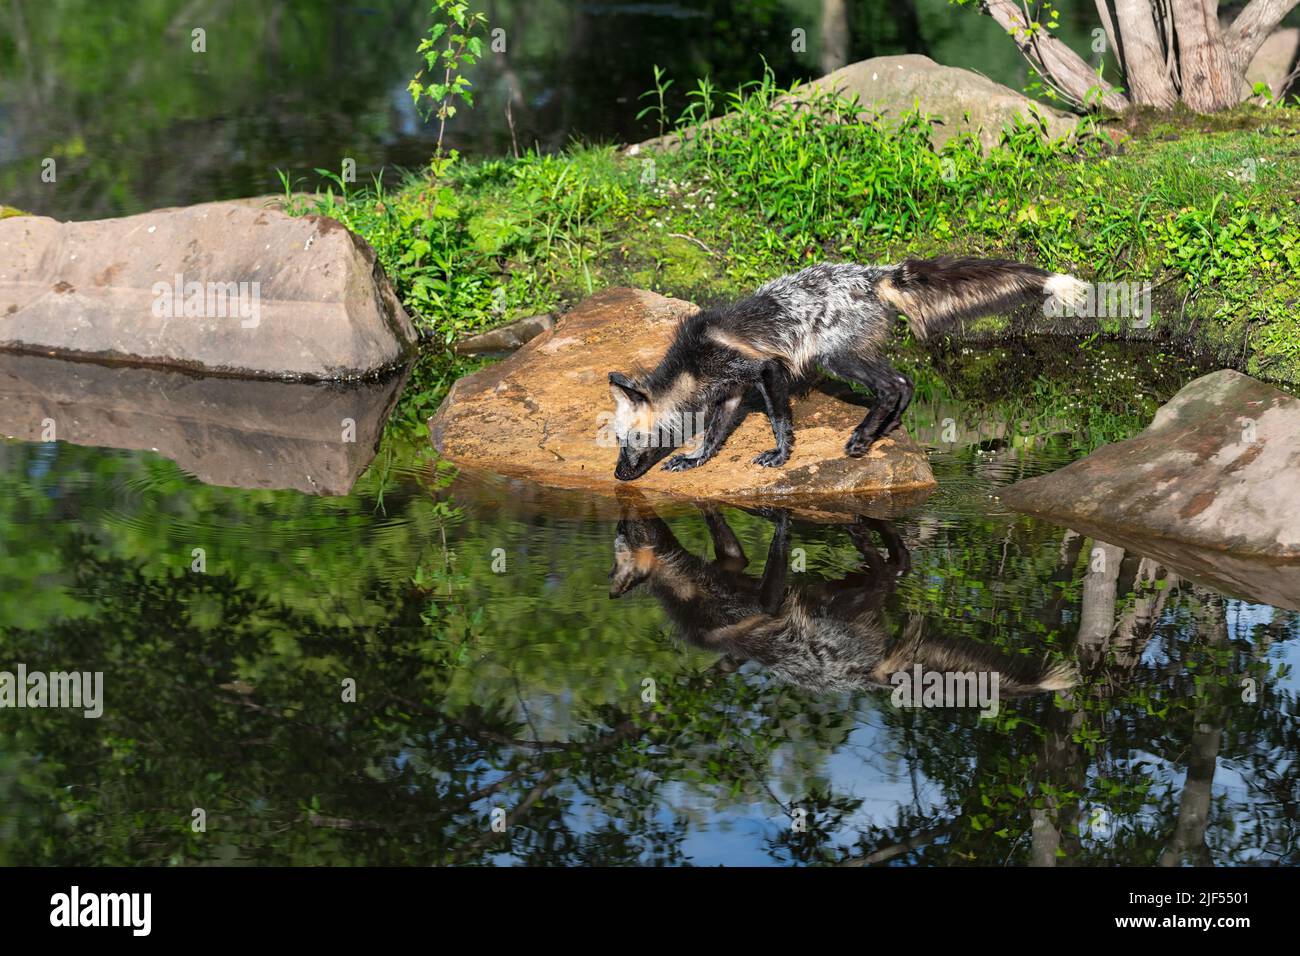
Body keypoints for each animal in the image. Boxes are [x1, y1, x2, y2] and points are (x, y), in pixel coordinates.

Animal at [608, 256, 1089, 480]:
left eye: (633, 441)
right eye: (617, 441)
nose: (617, 474)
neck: (693, 364)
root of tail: (876, 274)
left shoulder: (766, 369)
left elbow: (780, 420)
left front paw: (780, 457)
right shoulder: (731, 392)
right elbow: (712, 435)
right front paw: (694, 461)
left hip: (835, 358)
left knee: (892, 385)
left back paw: (861, 439)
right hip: (857, 355)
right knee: (906, 381)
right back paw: (882, 431)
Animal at [609, 505, 1077, 699]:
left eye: (622, 534)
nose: (622, 515)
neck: (689, 590)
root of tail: (871, 676)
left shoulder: (734, 567)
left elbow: (722, 528)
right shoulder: (762, 605)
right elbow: (775, 564)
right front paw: (778, 515)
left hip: (842, 591)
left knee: (898, 562)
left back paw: (871, 522)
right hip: (840, 602)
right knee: (892, 566)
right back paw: (861, 525)